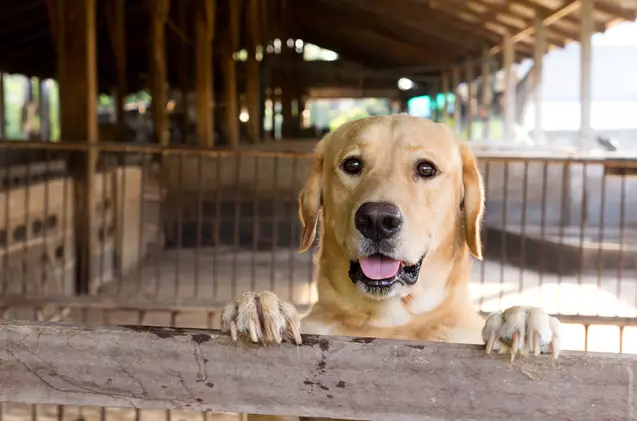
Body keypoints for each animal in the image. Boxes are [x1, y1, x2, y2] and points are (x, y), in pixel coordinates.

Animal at [221, 114, 560, 420]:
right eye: (352, 165)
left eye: (426, 169)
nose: (377, 219)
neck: (389, 321)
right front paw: (262, 305)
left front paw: (521, 319)